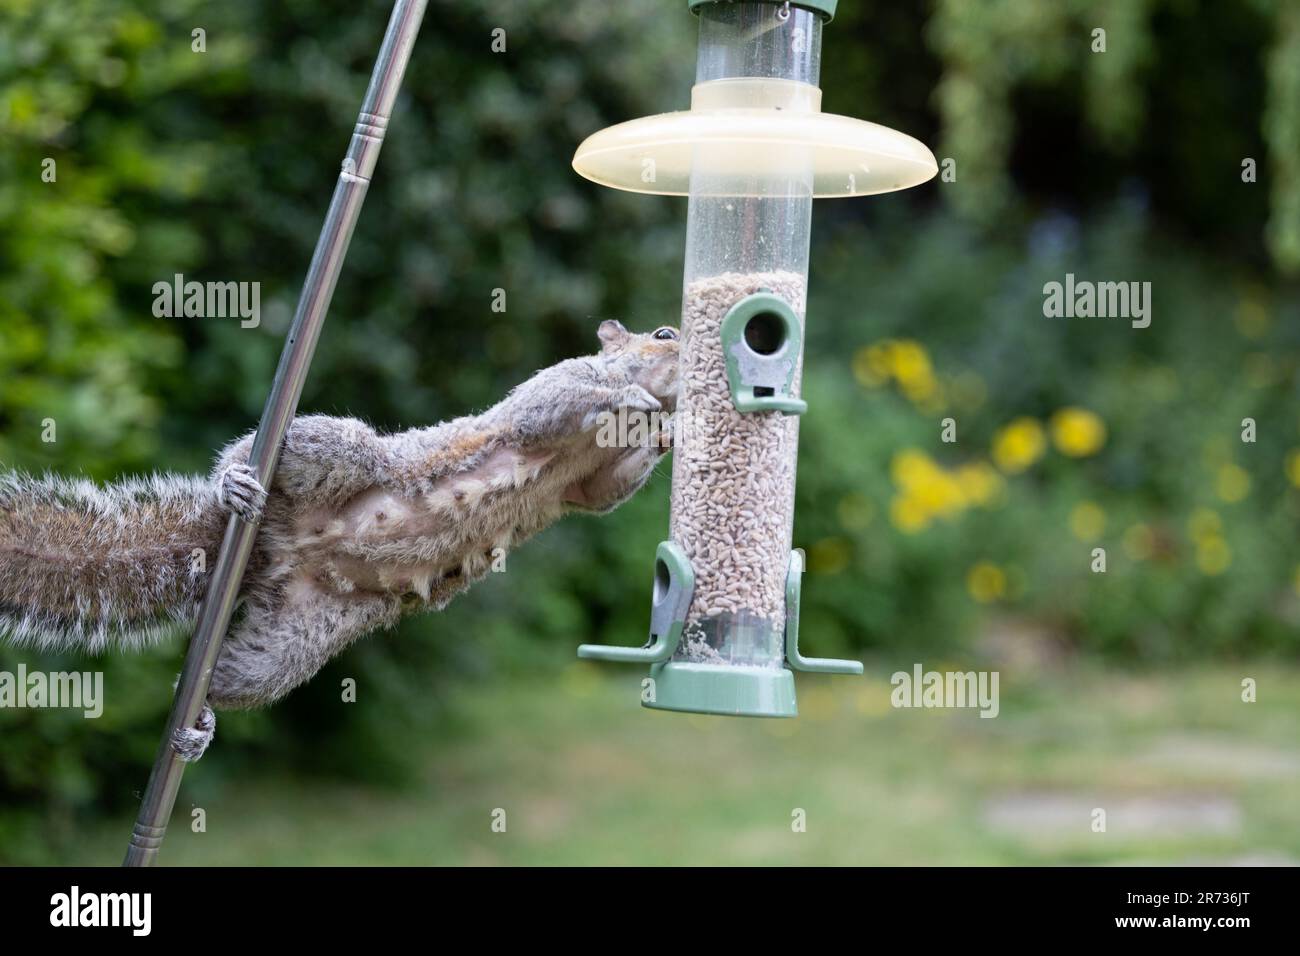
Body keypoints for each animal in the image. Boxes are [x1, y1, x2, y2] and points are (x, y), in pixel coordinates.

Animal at [0, 320, 678, 760]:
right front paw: (634, 398)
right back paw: (233, 485)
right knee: (262, 453)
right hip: (337, 451)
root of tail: (270, 550)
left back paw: (199, 724)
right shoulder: (550, 395)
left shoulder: (594, 483)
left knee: (243, 676)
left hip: (293, 642)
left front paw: (666, 433)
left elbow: (606, 489)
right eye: (665, 334)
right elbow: (560, 405)